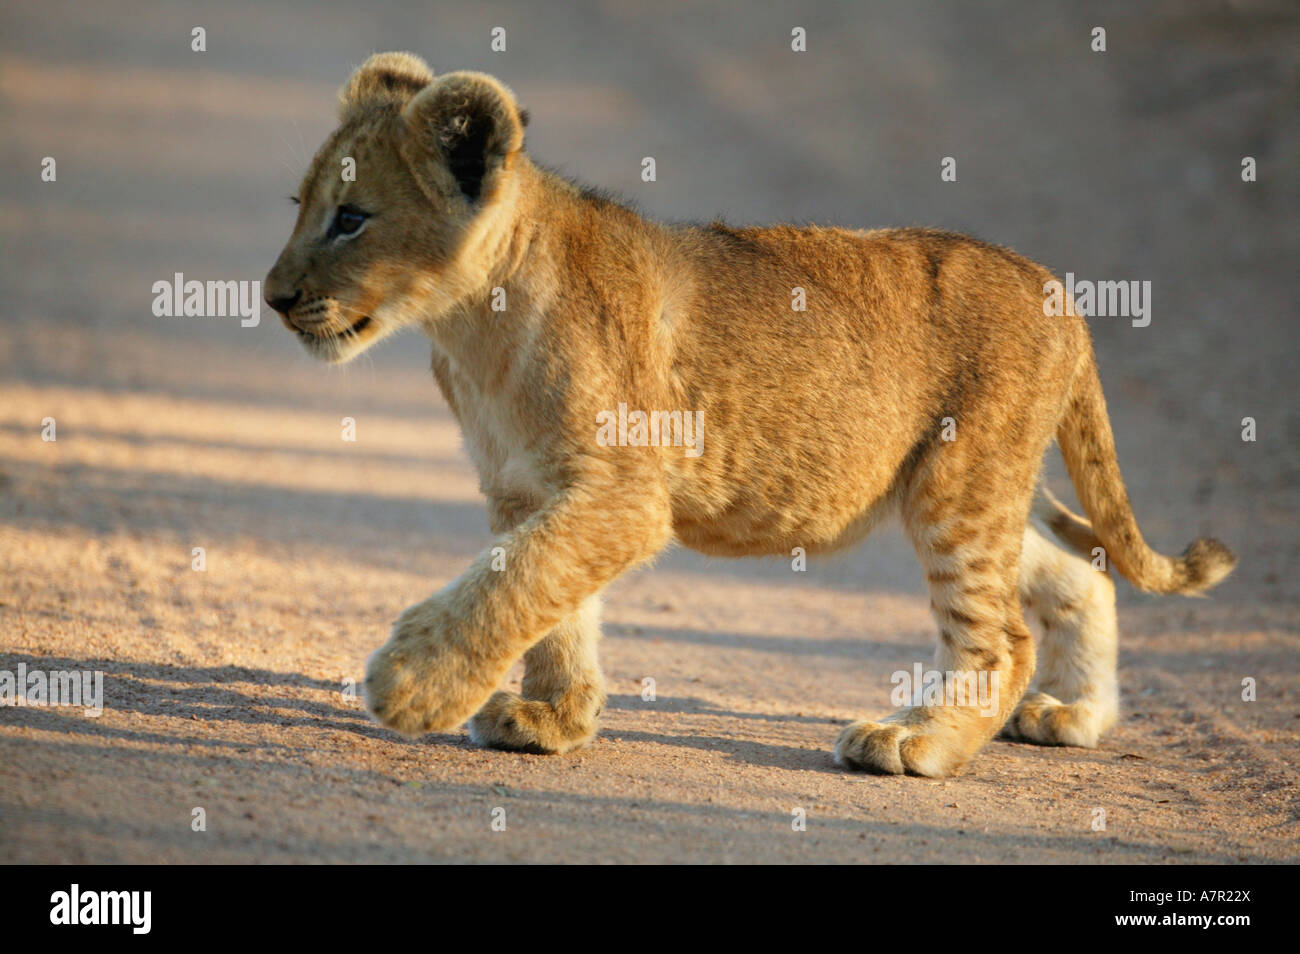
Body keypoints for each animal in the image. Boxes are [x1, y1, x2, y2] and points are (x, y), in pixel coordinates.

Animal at [263, 52, 1235, 776]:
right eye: (299, 207)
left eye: (351, 218)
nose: (273, 298)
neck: (470, 323)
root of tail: (1059, 290)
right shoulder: (527, 489)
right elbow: (549, 599)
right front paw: (552, 717)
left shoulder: (623, 491)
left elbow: (515, 583)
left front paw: (411, 685)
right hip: (969, 486)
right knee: (1083, 573)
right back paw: (1073, 714)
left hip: (961, 484)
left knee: (1000, 638)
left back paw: (913, 741)